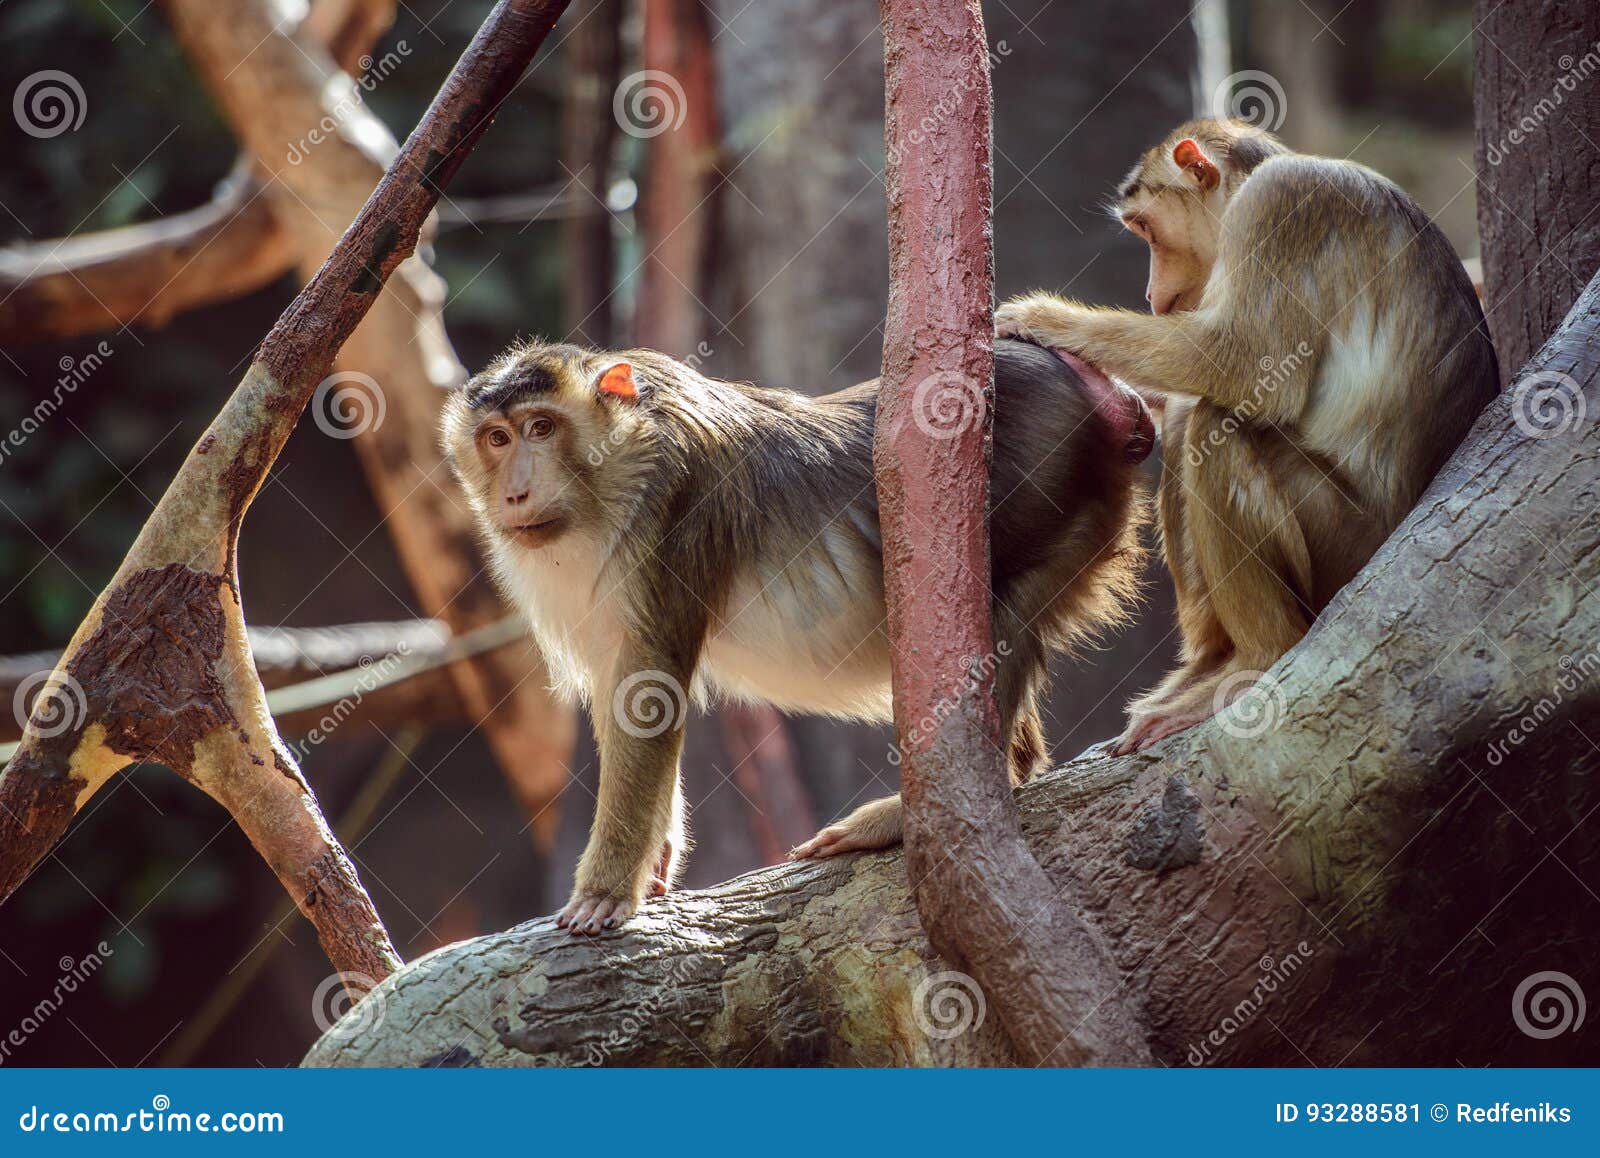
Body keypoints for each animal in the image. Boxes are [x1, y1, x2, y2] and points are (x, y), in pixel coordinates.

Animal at [442, 338, 1154, 933]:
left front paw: (606, 889)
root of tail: (1103, 395)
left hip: (1053, 485)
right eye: (497, 438)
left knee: (1000, 620)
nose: (516, 492)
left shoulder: (676, 502)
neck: (621, 463)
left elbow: (650, 685)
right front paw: (655, 858)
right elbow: (625, 687)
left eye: (541, 428)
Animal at [993, 118, 1499, 754]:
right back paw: (1210, 661)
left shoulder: (1278, 205)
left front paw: (1046, 319)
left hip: (1347, 551)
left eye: (1147, 229)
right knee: (1191, 422)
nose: (1153, 296)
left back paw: (1257, 659)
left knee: (1216, 423)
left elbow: (1246, 365)